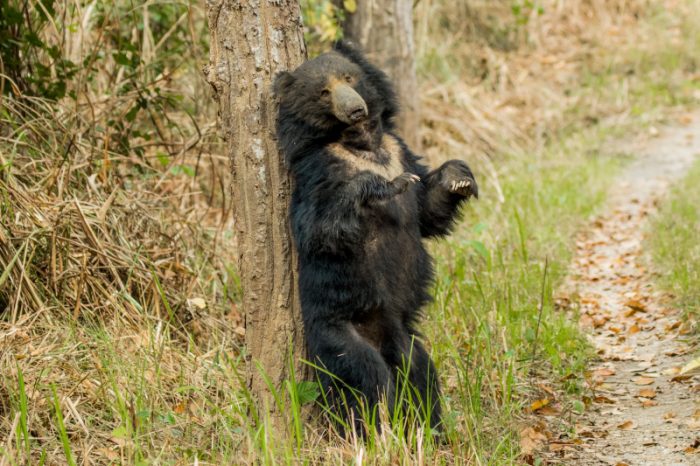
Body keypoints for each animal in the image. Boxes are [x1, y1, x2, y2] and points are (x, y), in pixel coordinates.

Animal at [273, 41, 478, 436]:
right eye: (323, 92)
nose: (355, 108)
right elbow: (318, 227)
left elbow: (426, 209)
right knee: (369, 381)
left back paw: (430, 429)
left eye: (349, 77)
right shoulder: (317, 170)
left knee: (420, 371)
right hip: (339, 331)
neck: (364, 143)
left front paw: (458, 176)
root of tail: (383, 336)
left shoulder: (400, 148)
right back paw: (378, 431)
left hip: (405, 336)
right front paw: (384, 186)